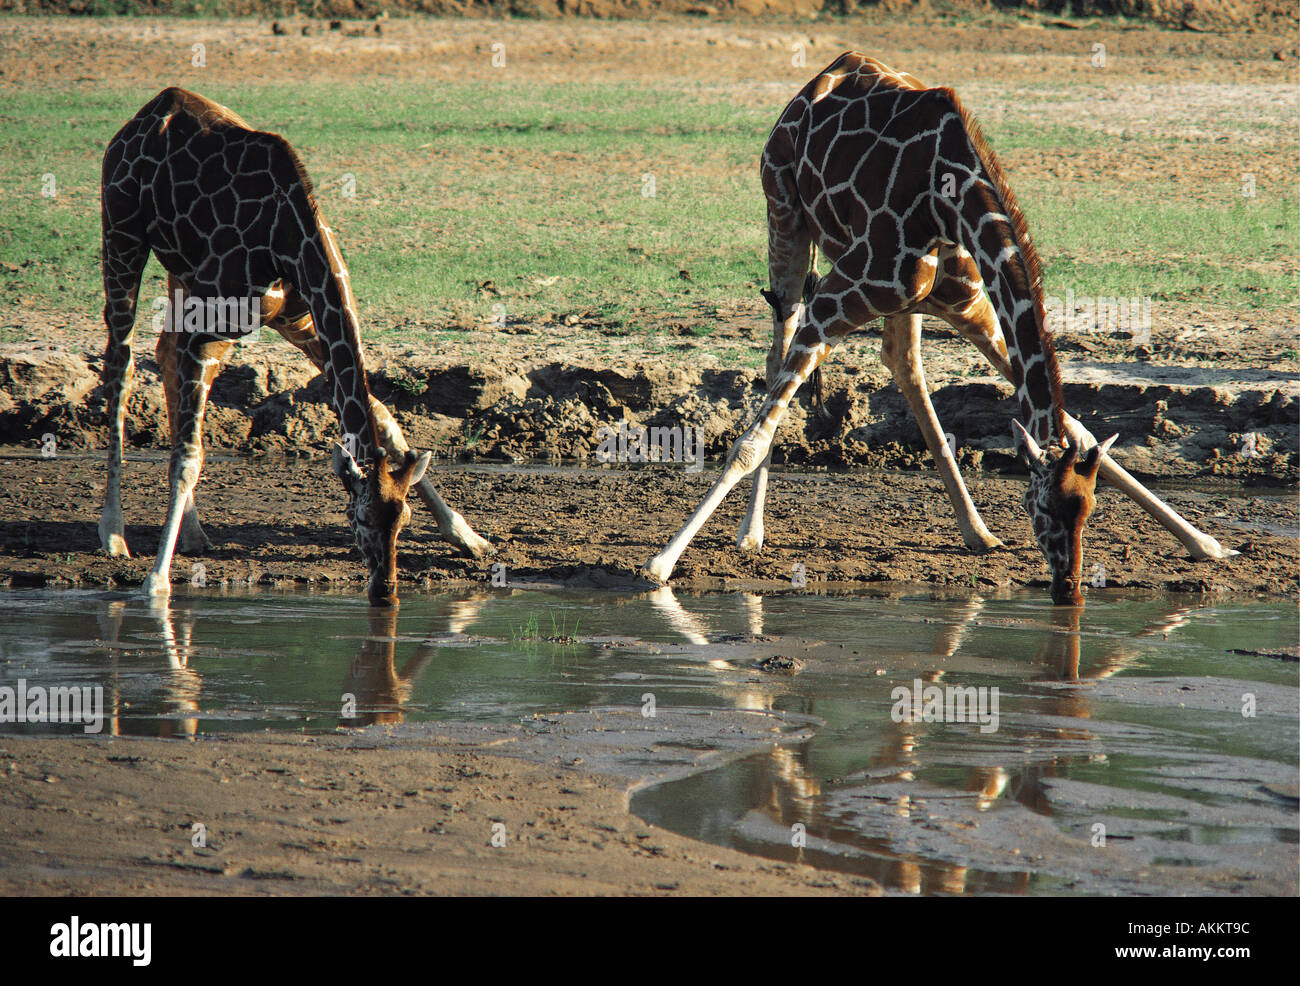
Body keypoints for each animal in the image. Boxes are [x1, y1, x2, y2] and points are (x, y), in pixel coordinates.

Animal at [98, 87, 490, 608]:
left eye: (404, 520)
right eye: (357, 518)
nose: (385, 591)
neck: (289, 236)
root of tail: (146, 114)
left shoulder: (305, 318)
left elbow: (384, 417)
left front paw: (467, 535)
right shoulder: (210, 331)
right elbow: (189, 456)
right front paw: (156, 582)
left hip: (186, 279)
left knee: (162, 352)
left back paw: (195, 532)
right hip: (122, 236)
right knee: (120, 365)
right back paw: (113, 531)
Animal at [645, 52, 1235, 604]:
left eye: (1088, 508)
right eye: (1041, 505)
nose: (1068, 587)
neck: (947, 201)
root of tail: (819, 78)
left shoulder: (971, 305)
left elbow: (1083, 431)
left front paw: (1206, 544)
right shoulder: (837, 296)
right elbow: (751, 441)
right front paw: (661, 565)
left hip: (911, 298)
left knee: (902, 362)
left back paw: (977, 533)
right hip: (784, 214)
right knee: (778, 353)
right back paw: (751, 532)